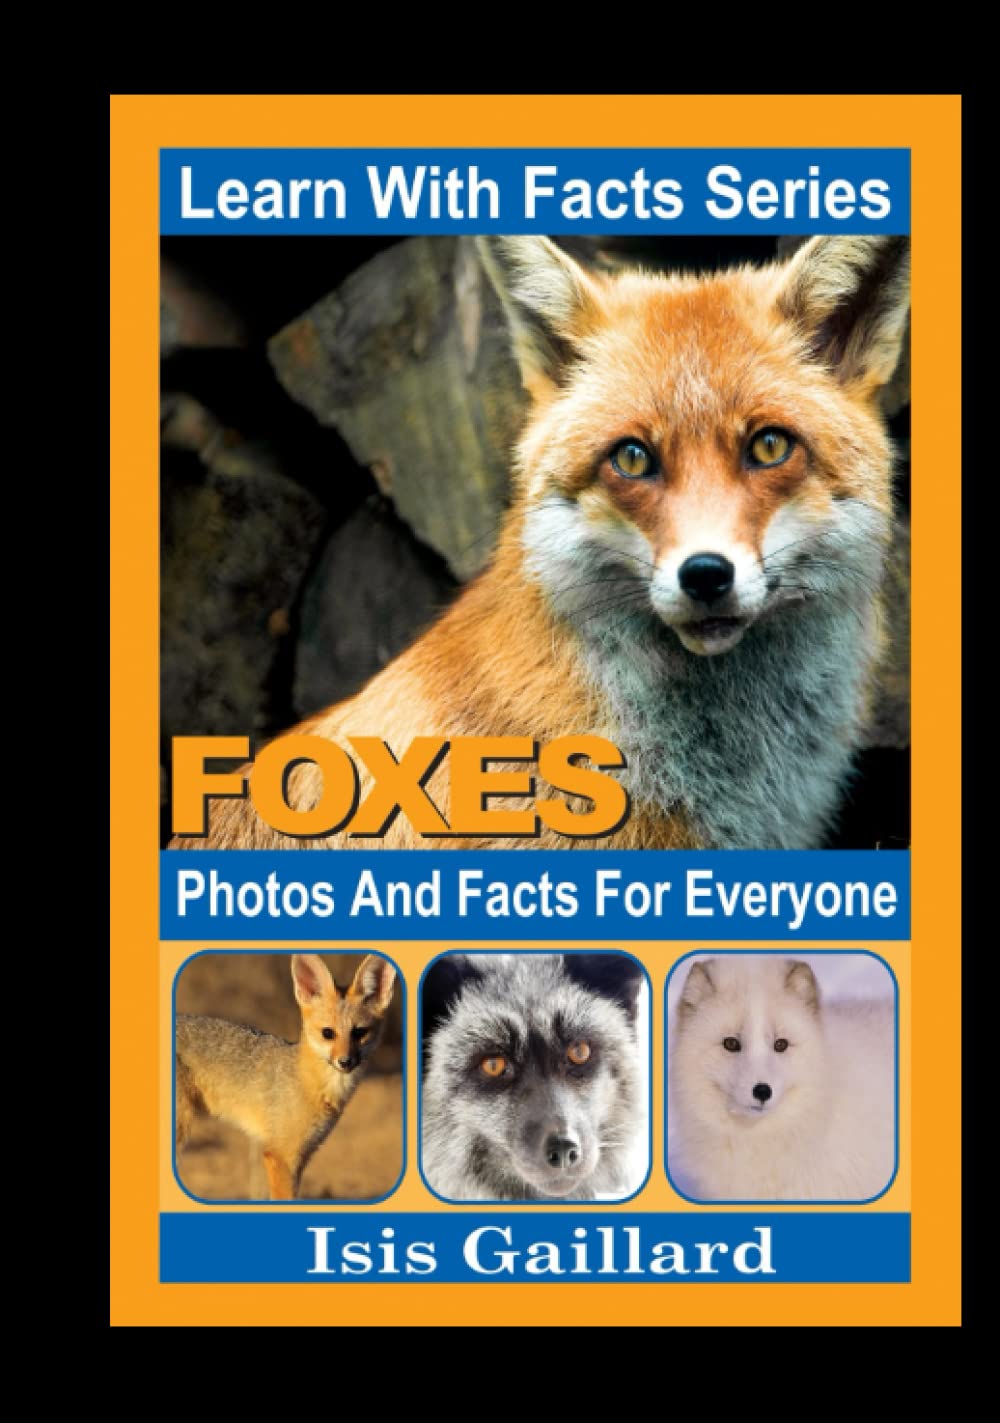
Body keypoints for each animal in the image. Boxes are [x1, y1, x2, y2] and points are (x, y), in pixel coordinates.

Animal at [175, 953, 397, 1199]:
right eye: (328, 1033)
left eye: (359, 1033)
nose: (345, 1061)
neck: (308, 1082)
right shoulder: (280, 1156)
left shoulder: (303, 1155)